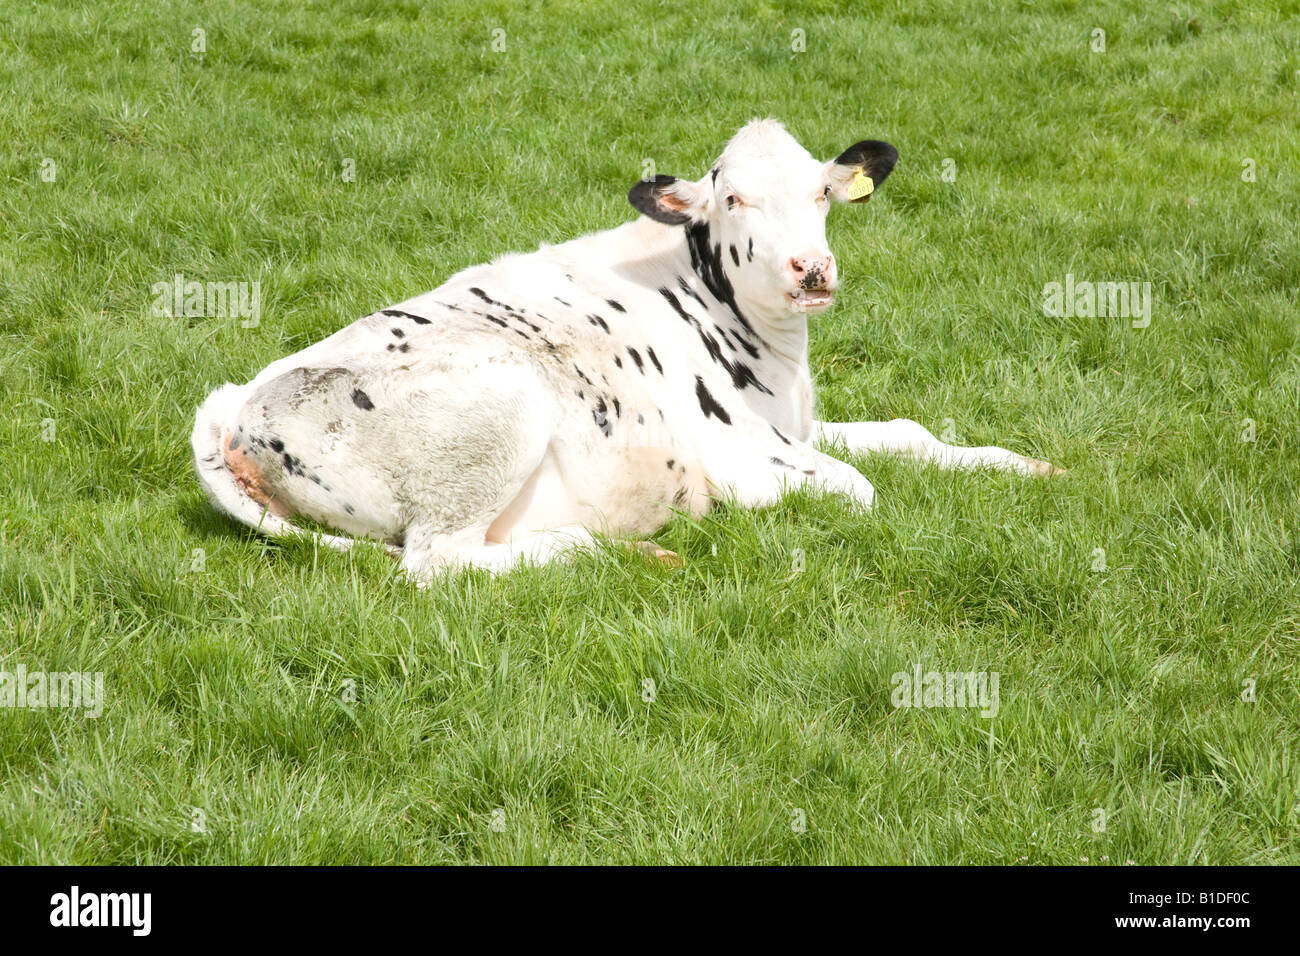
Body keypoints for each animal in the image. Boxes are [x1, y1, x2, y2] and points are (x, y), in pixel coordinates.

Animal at [192, 119, 1060, 582]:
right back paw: (633, 553)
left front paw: (1025, 466)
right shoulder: (741, 451)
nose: (810, 268)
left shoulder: (800, 426)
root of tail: (234, 407)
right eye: (732, 198)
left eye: (821, 192)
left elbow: (909, 436)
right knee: (443, 561)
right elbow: (859, 488)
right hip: (501, 414)